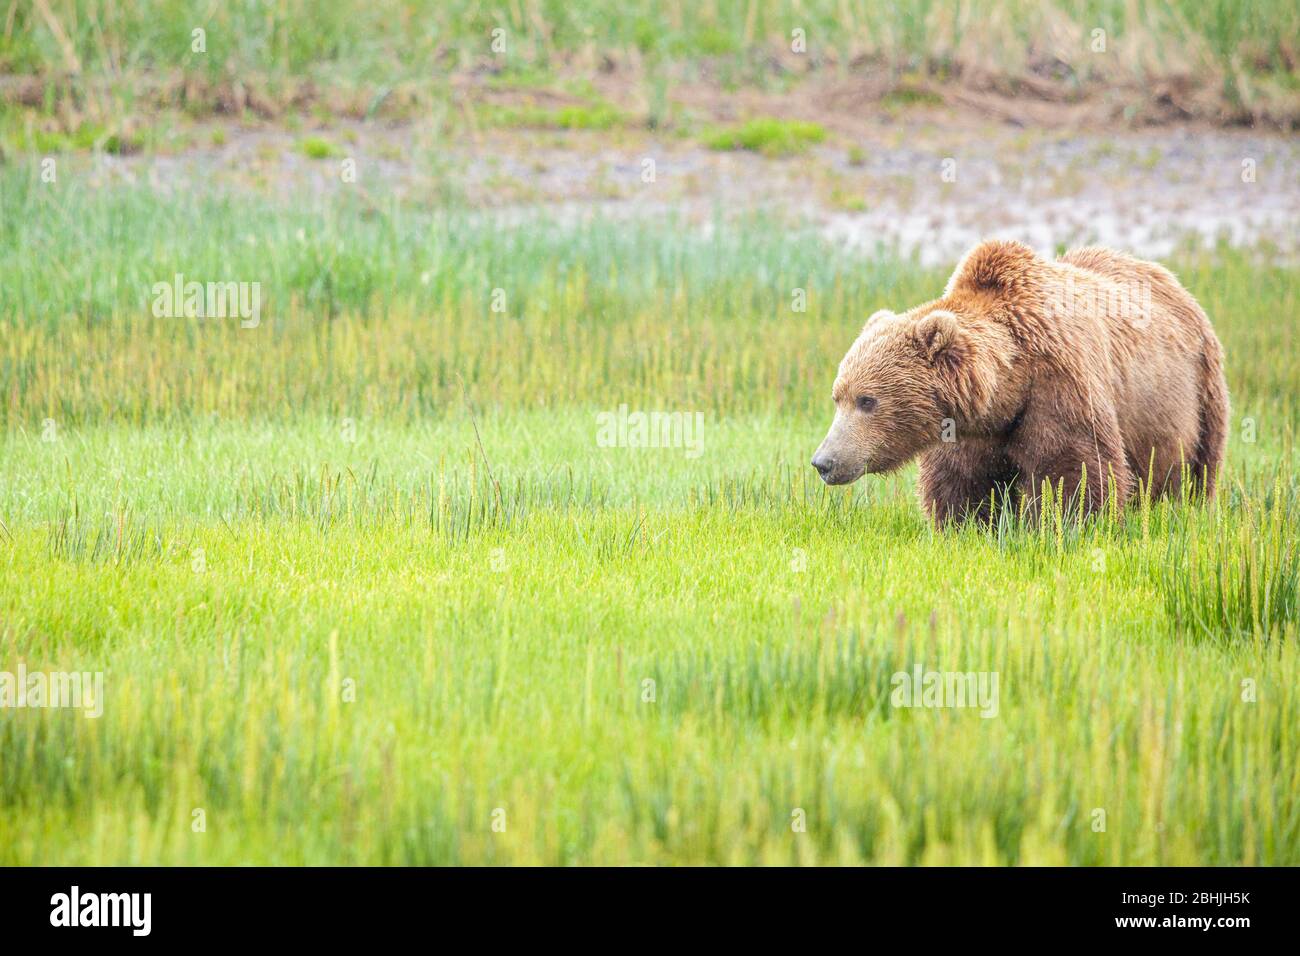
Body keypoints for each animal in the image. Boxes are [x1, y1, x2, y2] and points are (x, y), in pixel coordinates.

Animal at [811, 240, 1229, 524]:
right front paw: (965, 526)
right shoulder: (969, 429)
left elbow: (1075, 469)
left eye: (867, 400)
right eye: (837, 397)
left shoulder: (1058, 384)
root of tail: (1174, 284)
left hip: (1197, 393)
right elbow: (960, 483)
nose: (823, 461)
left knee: (1195, 470)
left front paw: (1063, 525)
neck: (1010, 385)